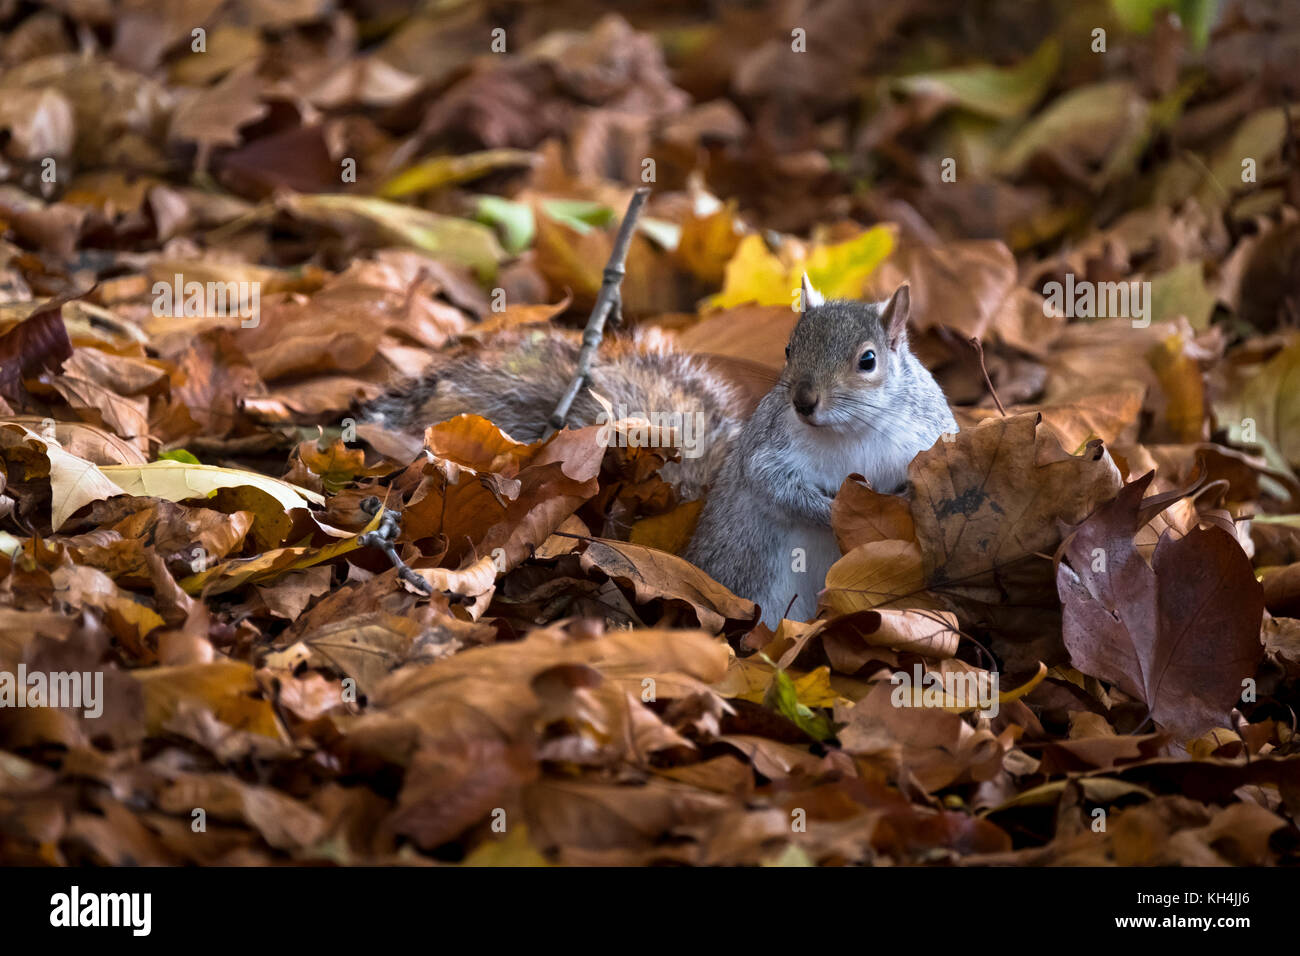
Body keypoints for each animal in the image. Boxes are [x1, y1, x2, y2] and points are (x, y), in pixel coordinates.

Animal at [361, 274, 958, 626]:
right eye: (789, 349)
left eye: (868, 360)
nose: (804, 401)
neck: (849, 432)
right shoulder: (772, 449)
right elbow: (773, 485)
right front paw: (829, 509)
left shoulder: (928, 437)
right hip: (758, 587)